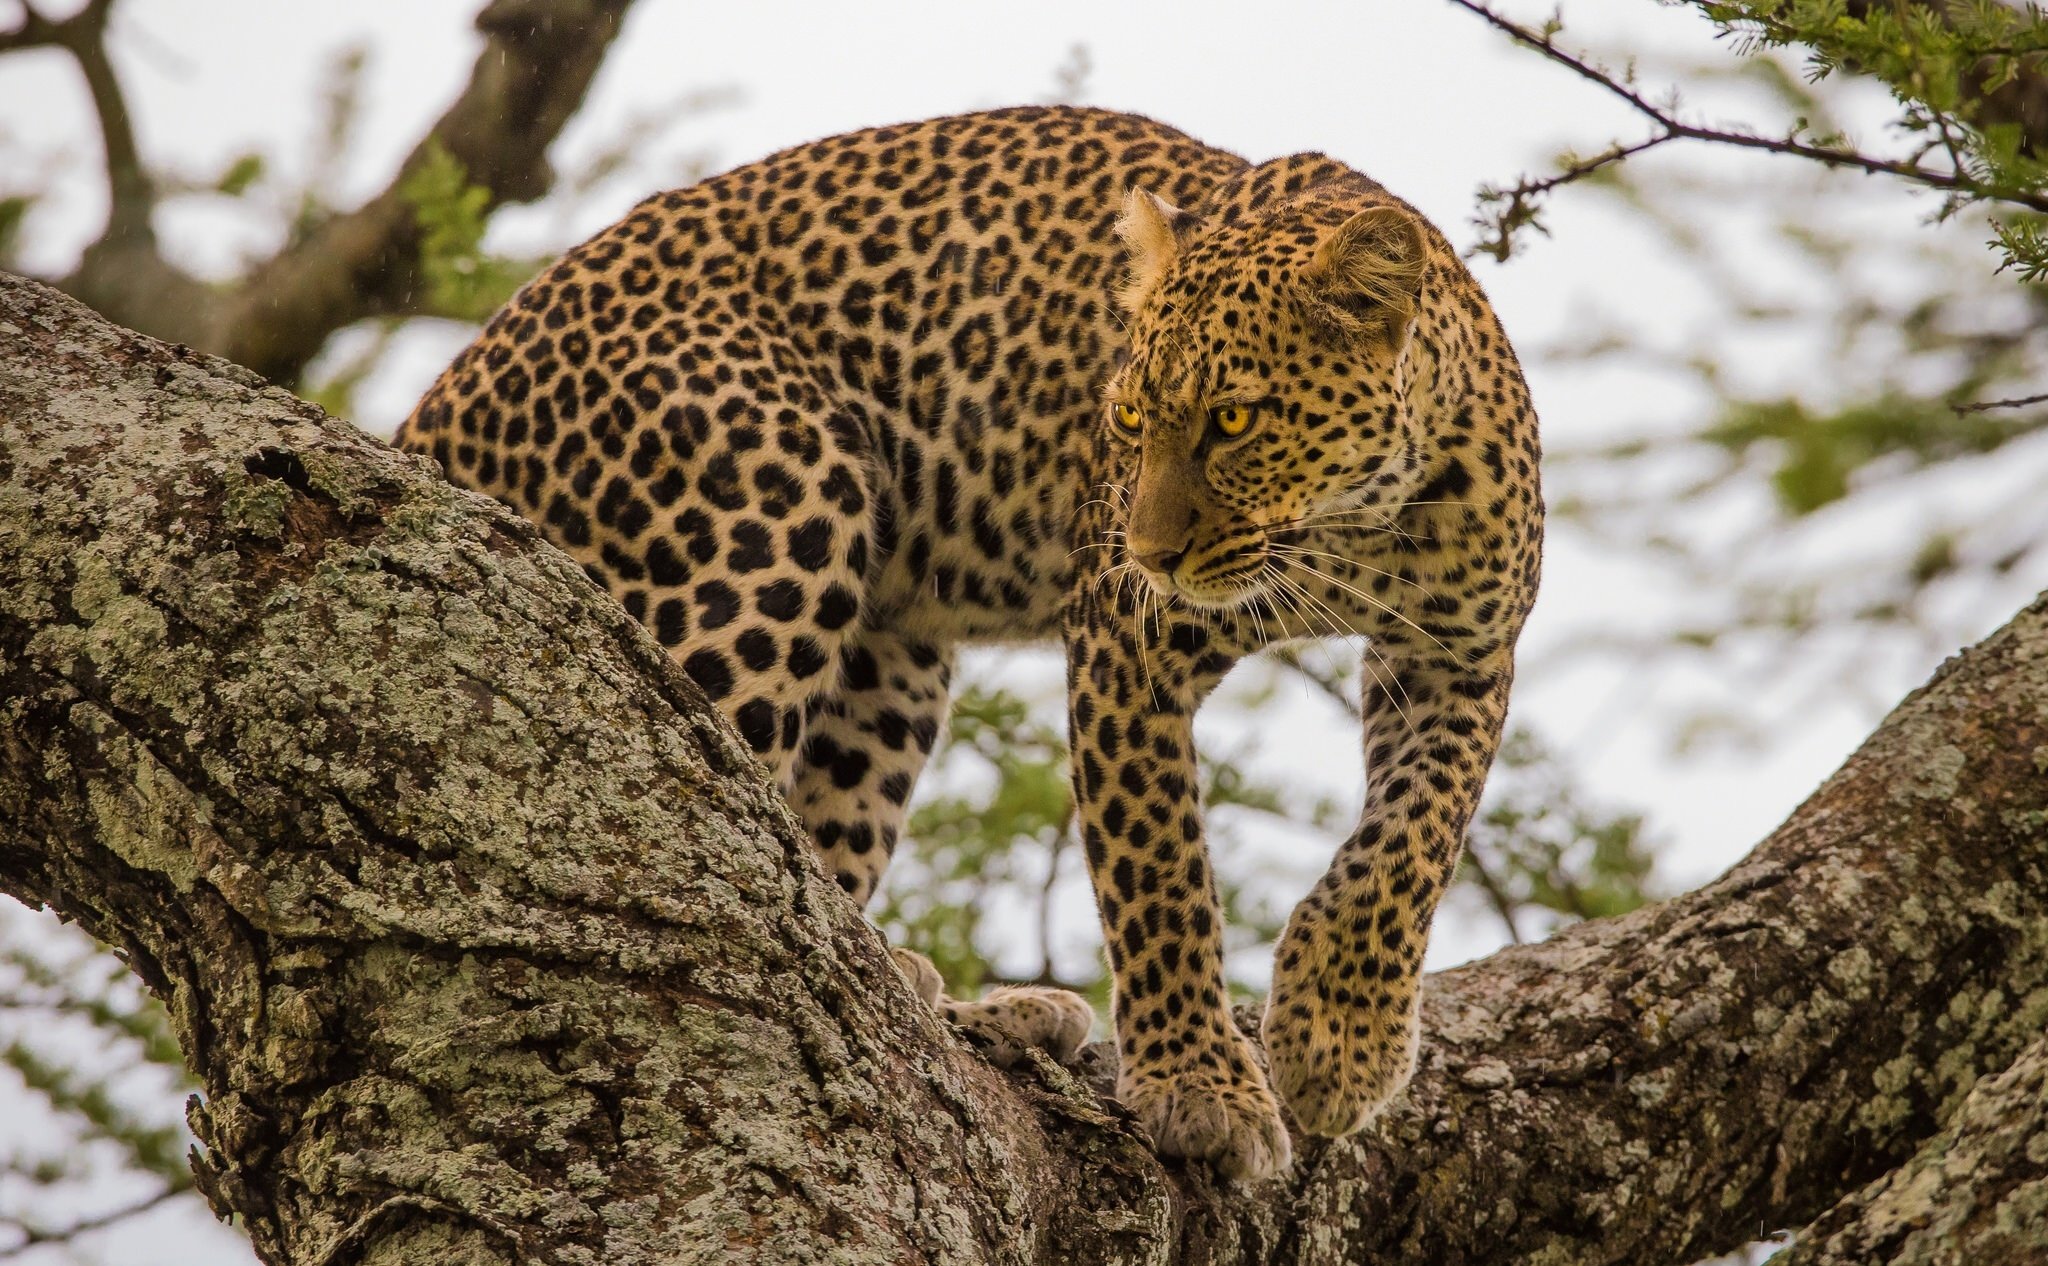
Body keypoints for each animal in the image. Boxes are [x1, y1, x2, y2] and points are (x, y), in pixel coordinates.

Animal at [395, 105, 1542, 1183]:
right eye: (1129, 419)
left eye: (1233, 420)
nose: (1148, 552)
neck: (1351, 524)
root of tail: (432, 411)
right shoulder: (1127, 643)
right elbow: (1159, 869)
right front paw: (1199, 1085)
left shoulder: (1463, 659)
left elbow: (1412, 841)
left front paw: (1336, 1039)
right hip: (778, 501)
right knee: (694, 836)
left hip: (891, 662)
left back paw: (962, 1000)